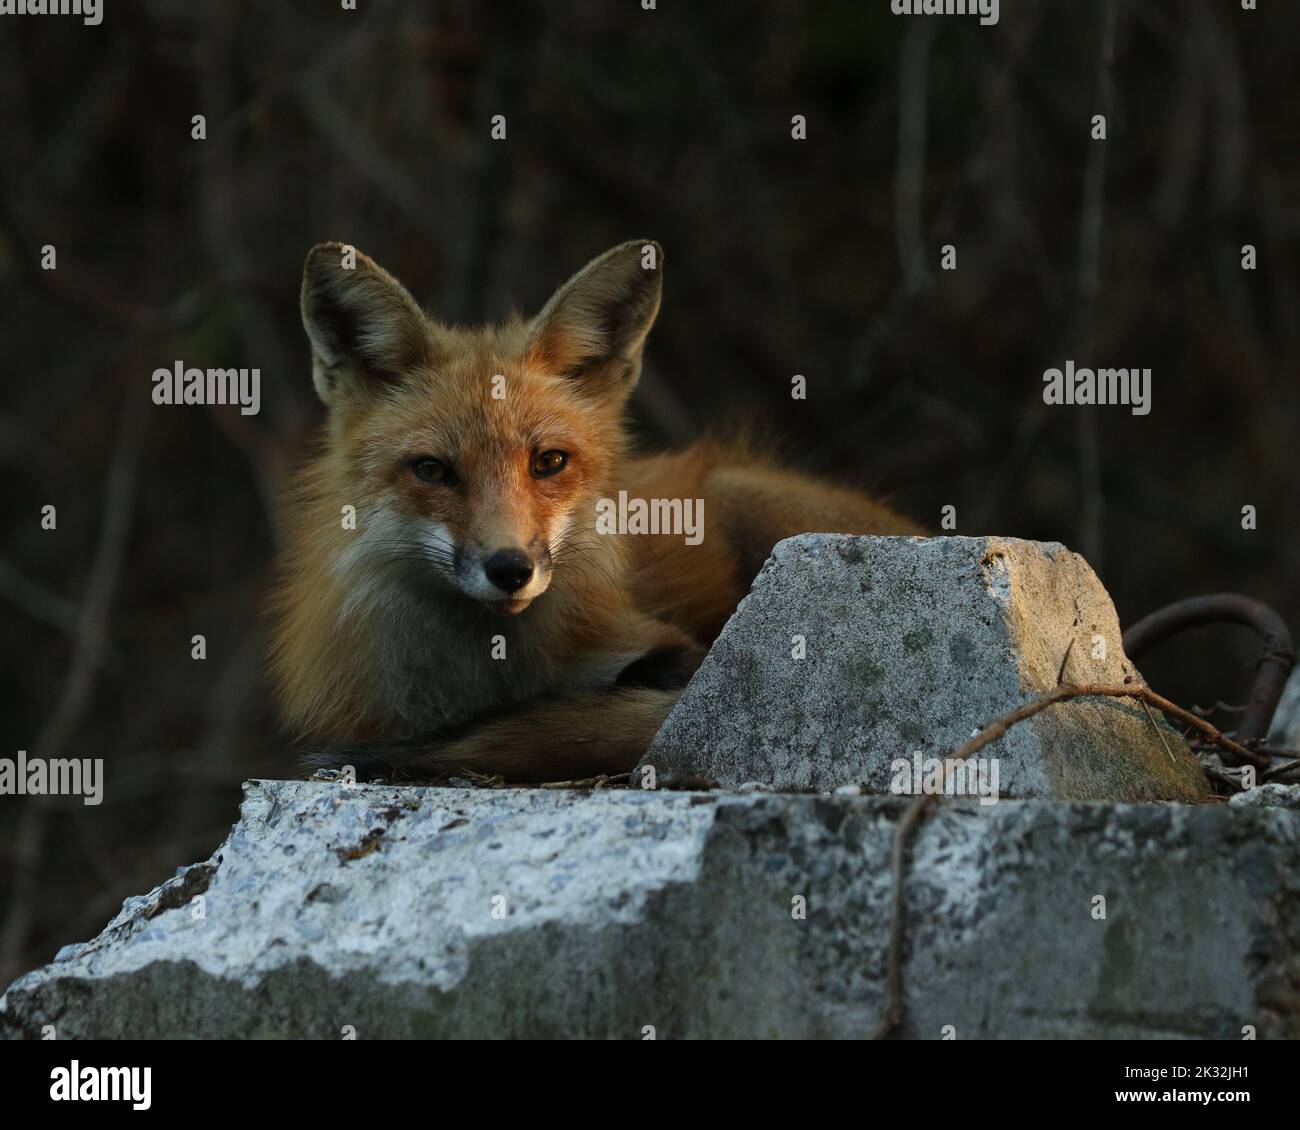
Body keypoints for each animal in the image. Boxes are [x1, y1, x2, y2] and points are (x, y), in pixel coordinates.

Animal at [271, 239, 924, 783]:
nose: (510, 568)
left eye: (549, 462)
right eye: (432, 470)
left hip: (744, 495)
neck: (495, 679)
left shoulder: (659, 643)